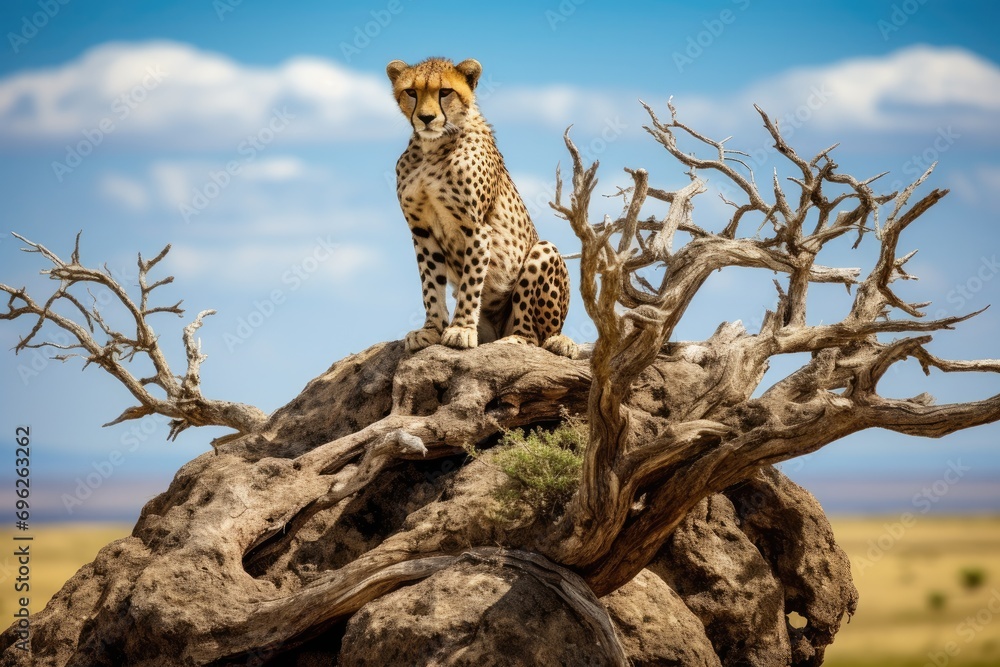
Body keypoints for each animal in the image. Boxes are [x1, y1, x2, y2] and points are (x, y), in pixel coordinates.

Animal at [386, 56, 577, 358]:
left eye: (445, 92)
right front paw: (431, 330)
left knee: (536, 335)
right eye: (411, 92)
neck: (432, 147)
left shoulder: (476, 228)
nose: (426, 118)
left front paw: (461, 329)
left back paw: (519, 341)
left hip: (543, 253)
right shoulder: (422, 231)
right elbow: (431, 285)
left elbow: (470, 283)